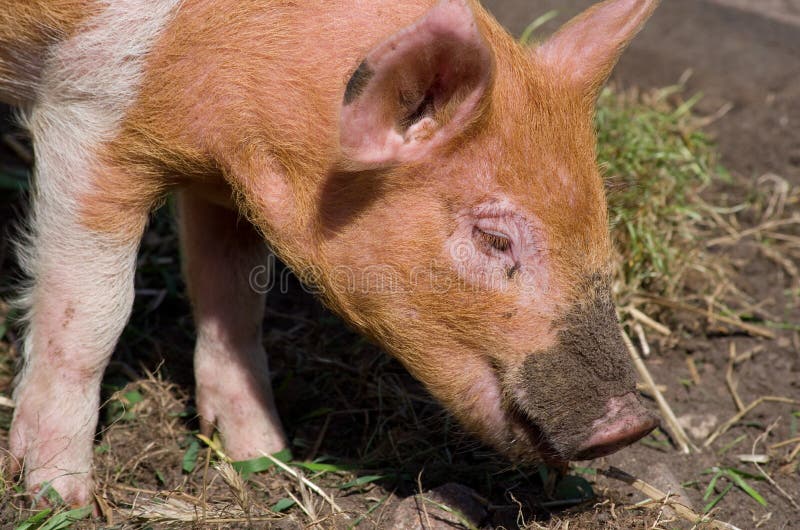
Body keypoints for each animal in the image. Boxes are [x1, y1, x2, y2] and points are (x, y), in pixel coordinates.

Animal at [1, 0, 660, 507]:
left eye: (600, 217)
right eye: (494, 238)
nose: (632, 423)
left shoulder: (225, 179)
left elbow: (232, 301)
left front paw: (265, 457)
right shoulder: (86, 114)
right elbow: (92, 313)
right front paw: (56, 496)